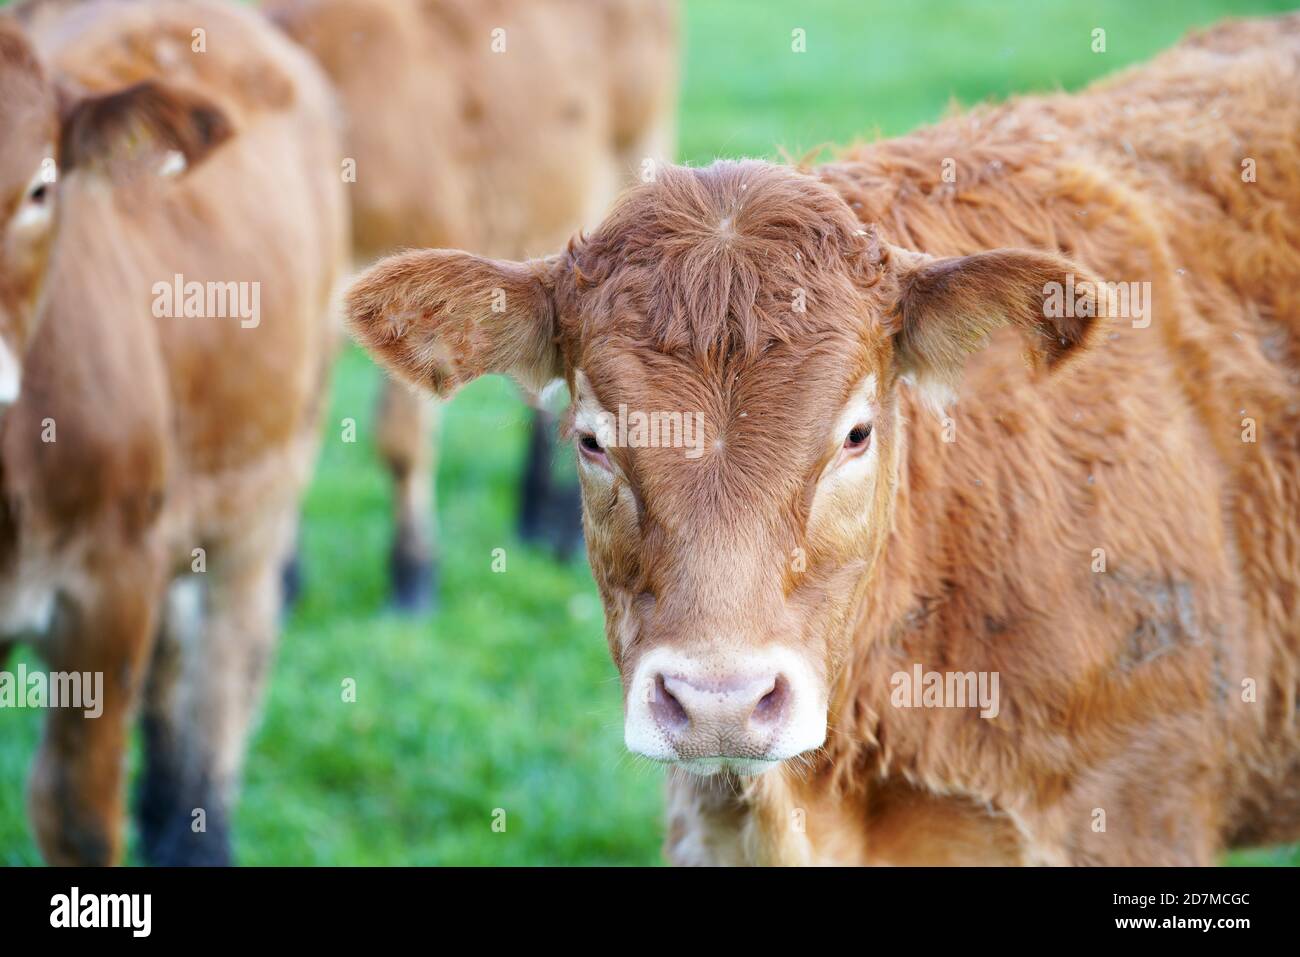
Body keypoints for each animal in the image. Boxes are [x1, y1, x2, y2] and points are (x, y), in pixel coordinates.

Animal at [0, 0, 347, 865]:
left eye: (39, 187)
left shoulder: (107, 586)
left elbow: (76, 811)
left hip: (272, 477)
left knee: (231, 653)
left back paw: (201, 827)